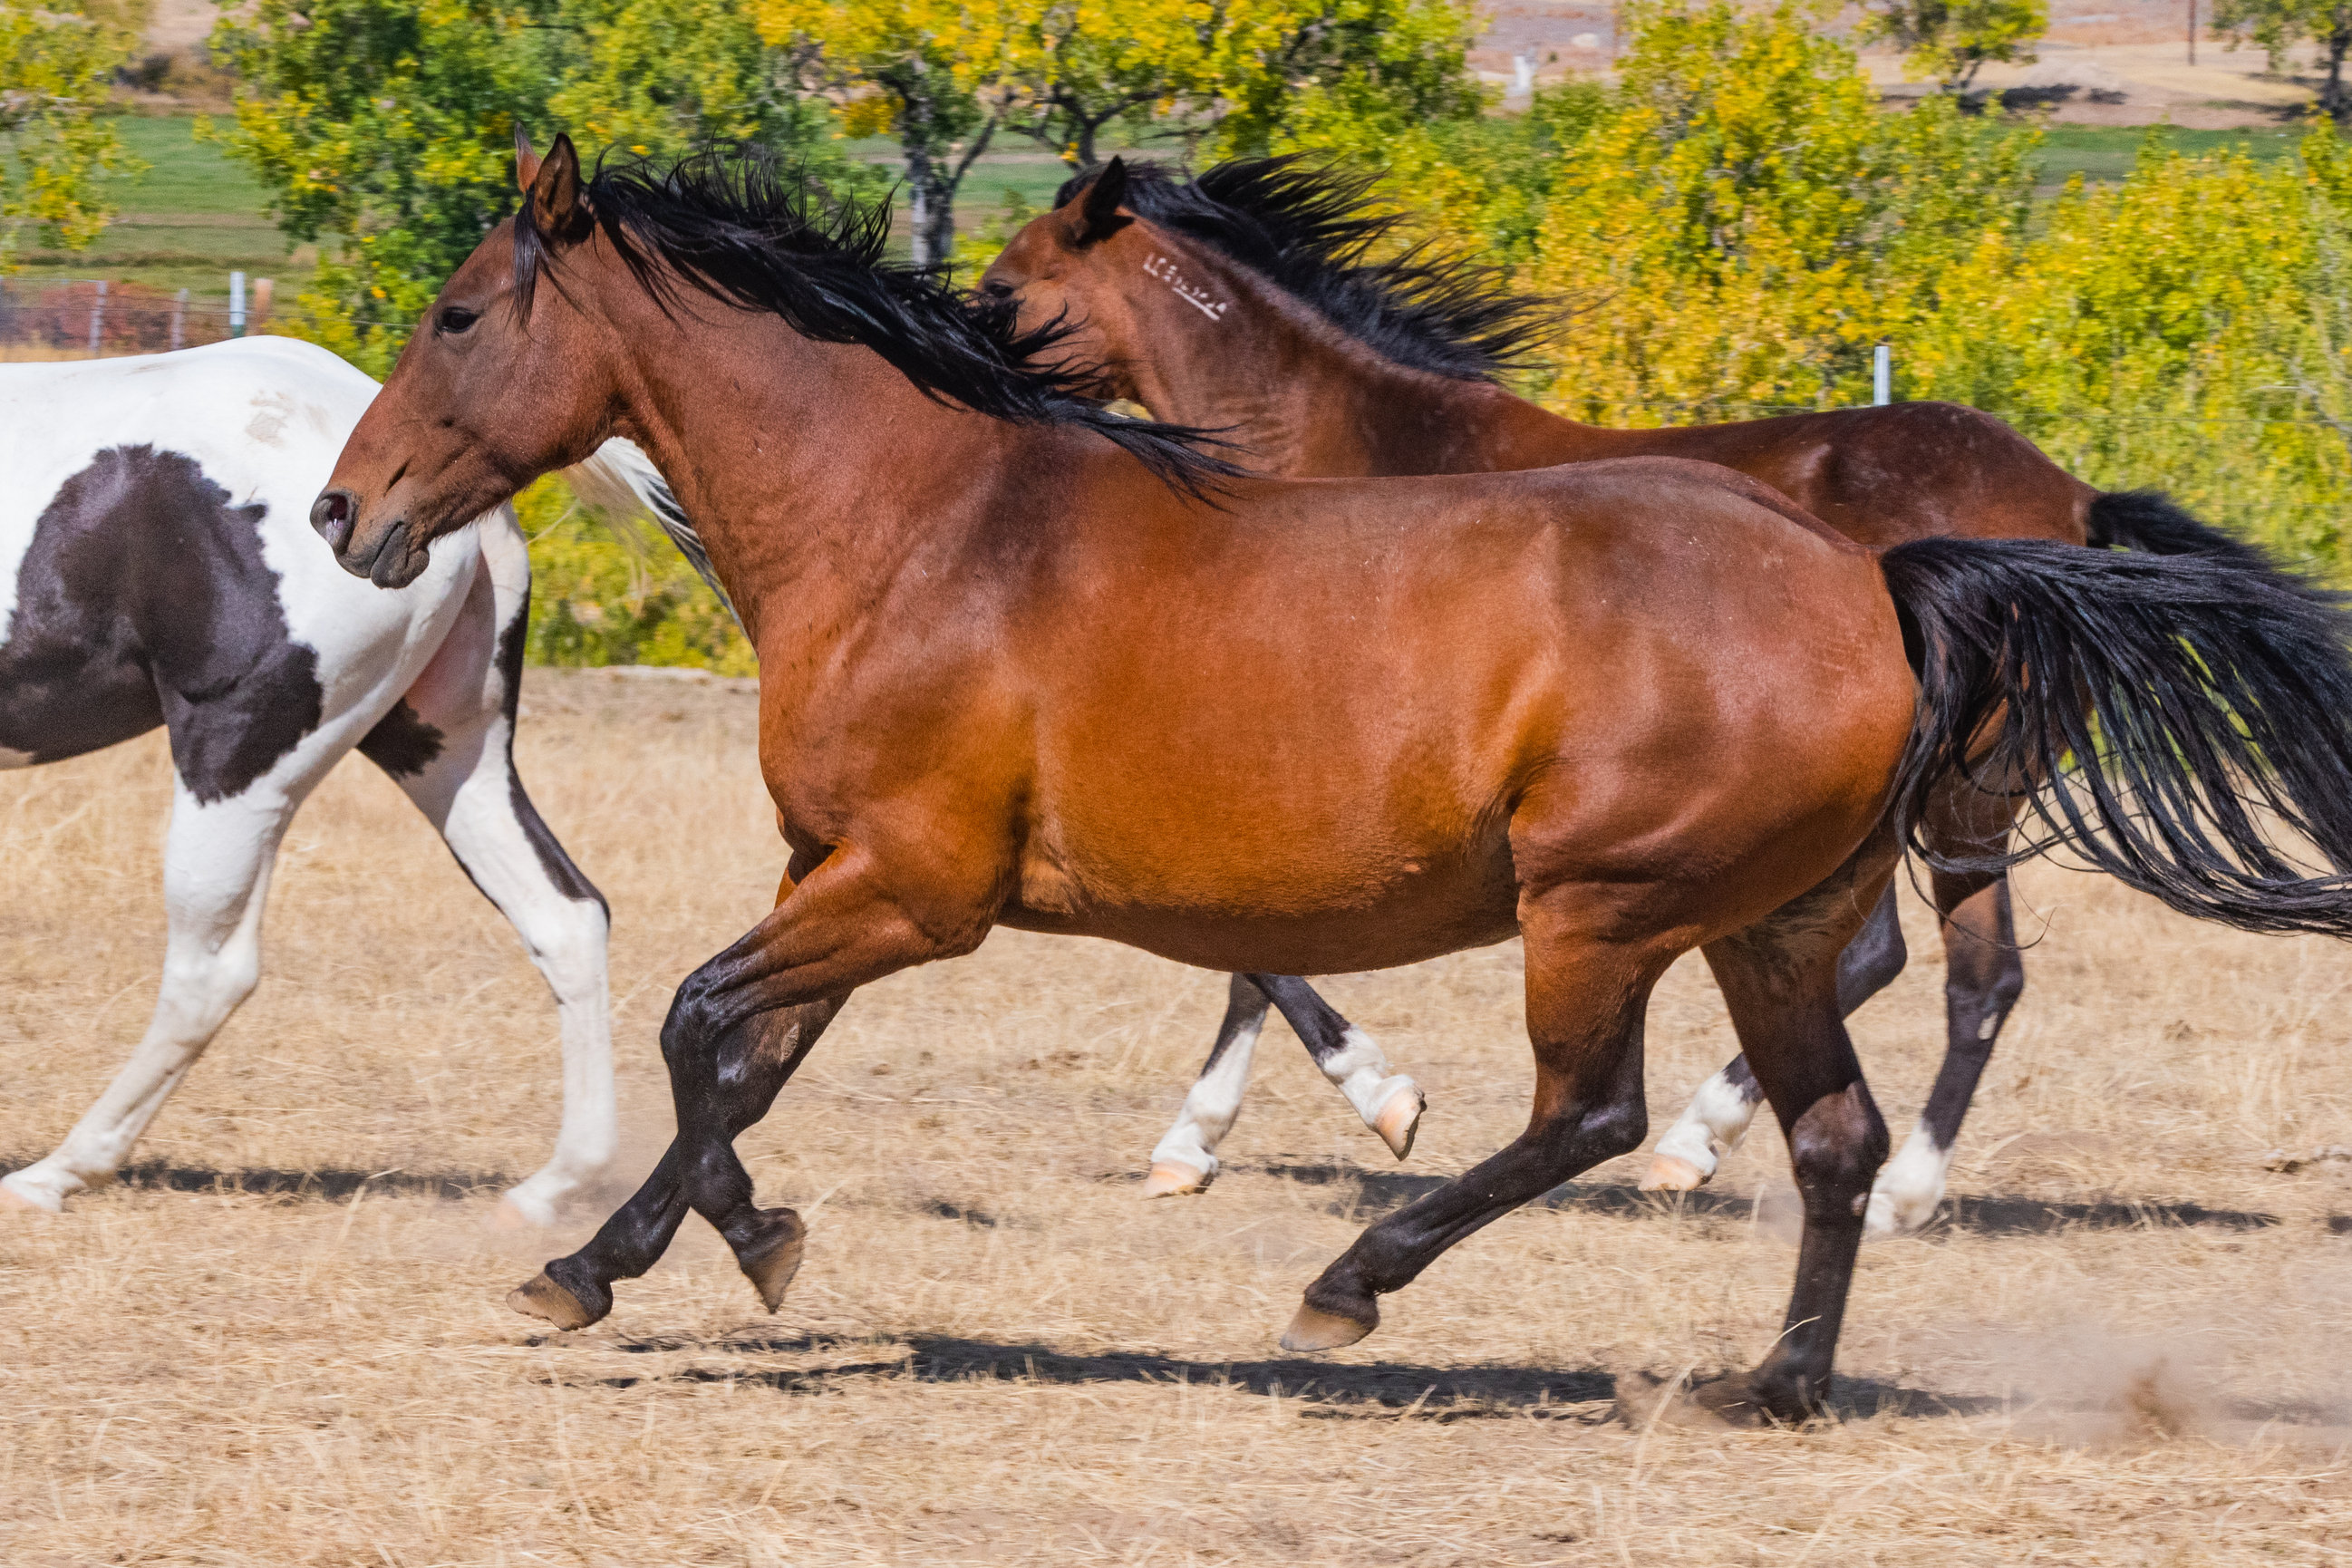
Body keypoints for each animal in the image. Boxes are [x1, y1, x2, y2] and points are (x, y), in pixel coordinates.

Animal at [0, 335, 657, 1225]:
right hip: (442, 752)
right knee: (566, 916)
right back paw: (553, 1188)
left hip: (236, 763)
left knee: (211, 972)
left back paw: (58, 1171)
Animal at [979, 154, 2273, 1233]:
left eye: (1004, 287)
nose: (975, 371)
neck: (1342, 444)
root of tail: (2074, 501)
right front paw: (1221, 1137)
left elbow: (1257, 954)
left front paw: (1325, 1110)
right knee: (1909, 965)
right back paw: (1745, 1154)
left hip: (1954, 798)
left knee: (1956, 969)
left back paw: (1843, 1175)